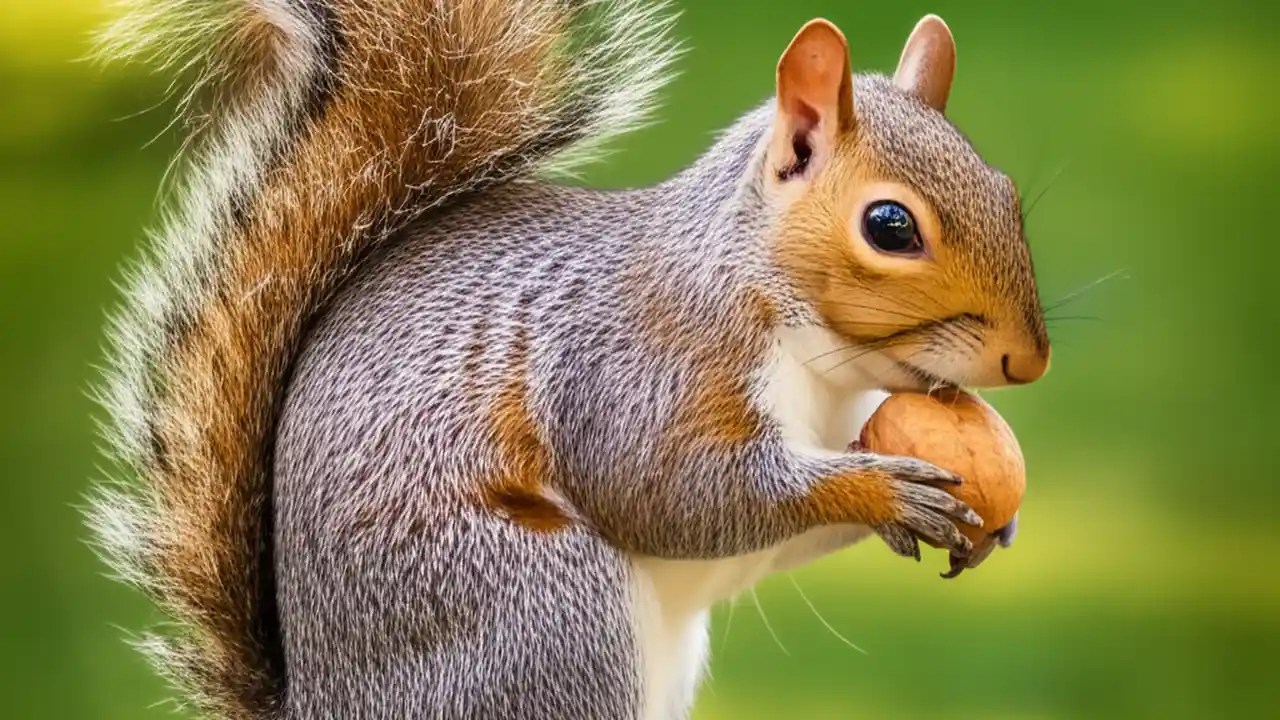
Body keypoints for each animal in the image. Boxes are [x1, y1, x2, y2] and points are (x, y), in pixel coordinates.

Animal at [89, 1, 1050, 719]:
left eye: (1007, 193)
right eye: (890, 226)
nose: (1029, 363)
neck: (821, 364)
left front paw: (980, 520)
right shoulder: (641, 360)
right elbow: (667, 490)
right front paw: (883, 490)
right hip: (548, 613)